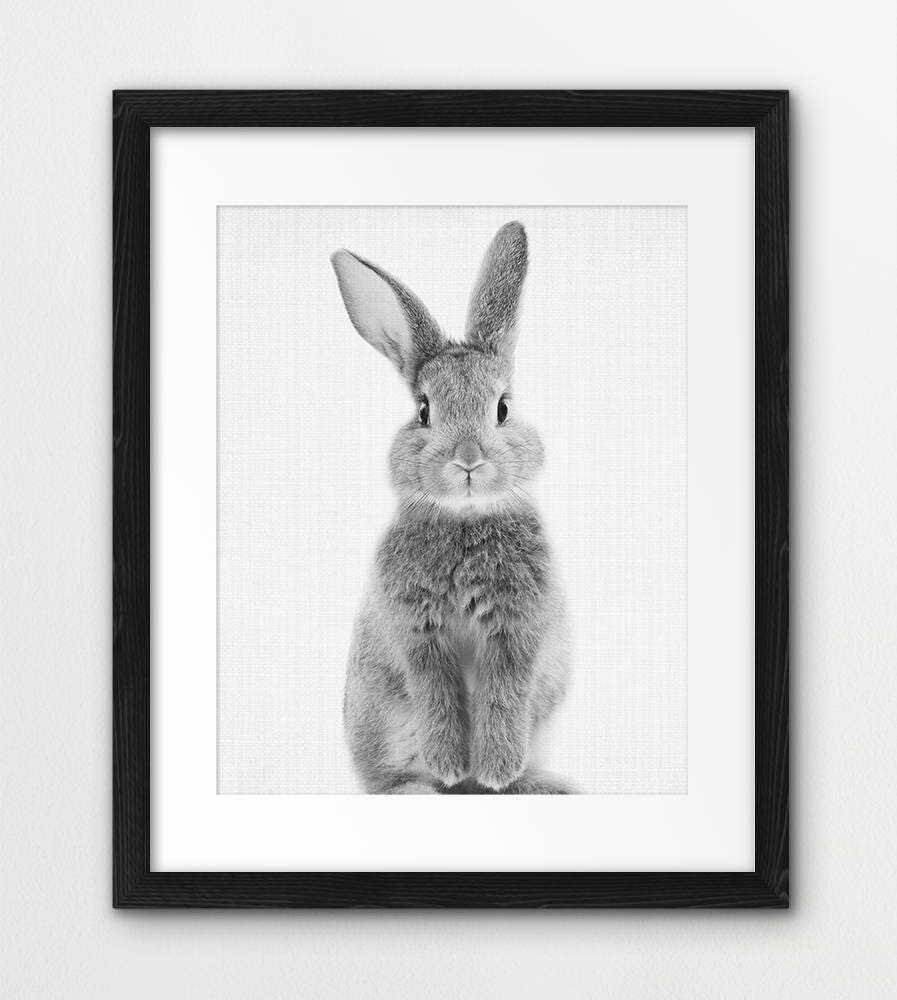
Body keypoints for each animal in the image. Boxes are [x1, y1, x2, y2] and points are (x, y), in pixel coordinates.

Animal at [331, 221, 572, 794]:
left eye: (503, 409)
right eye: (423, 411)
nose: (467, 460)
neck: (463, 520)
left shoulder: (517, 631)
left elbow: (502, 697)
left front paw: (496, 769)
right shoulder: (416, 632)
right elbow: (436, 695)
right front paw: (451, 764)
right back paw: (429, 786)